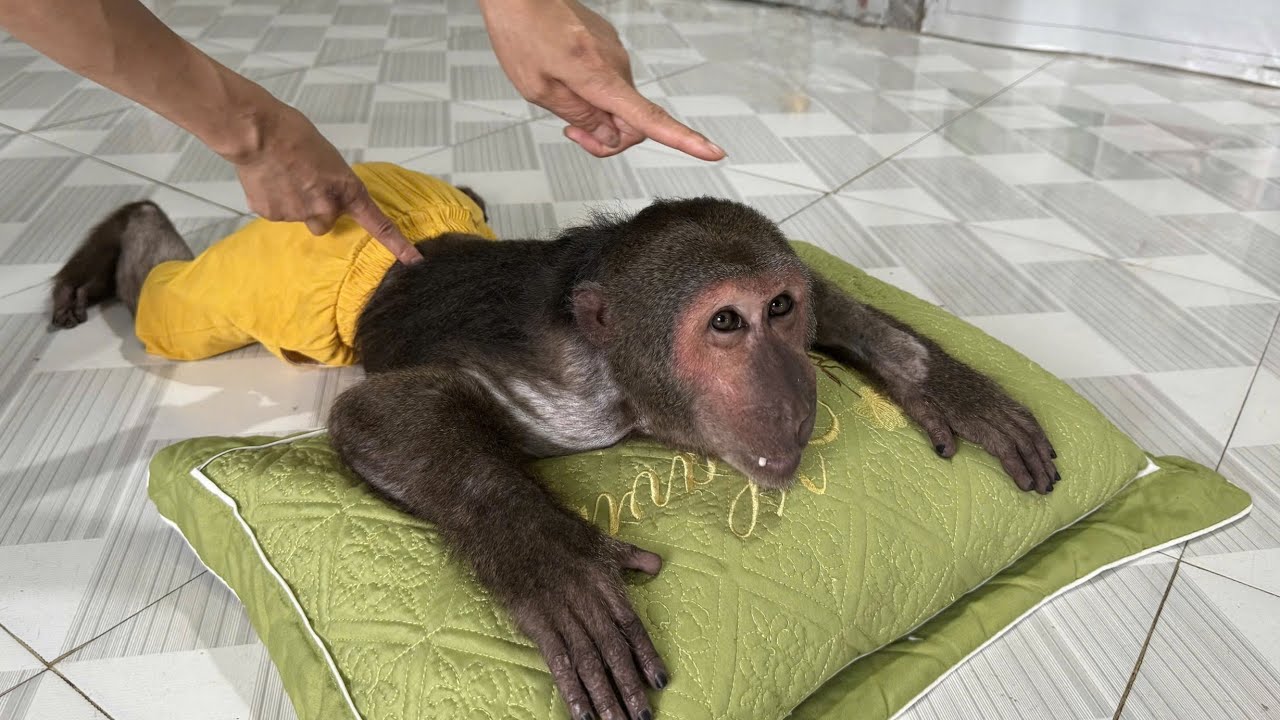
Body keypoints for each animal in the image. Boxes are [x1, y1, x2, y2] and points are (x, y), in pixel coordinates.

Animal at [50, 169, 1057, 720]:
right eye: (724, 324)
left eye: (780, 309)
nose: (790, 395)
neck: (629, 377)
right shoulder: (574, 404)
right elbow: (381, 414)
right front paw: (546, 561)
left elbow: (830, 289)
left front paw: (938, 381)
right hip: (285, 265)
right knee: (178, 308)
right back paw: (121, 233)